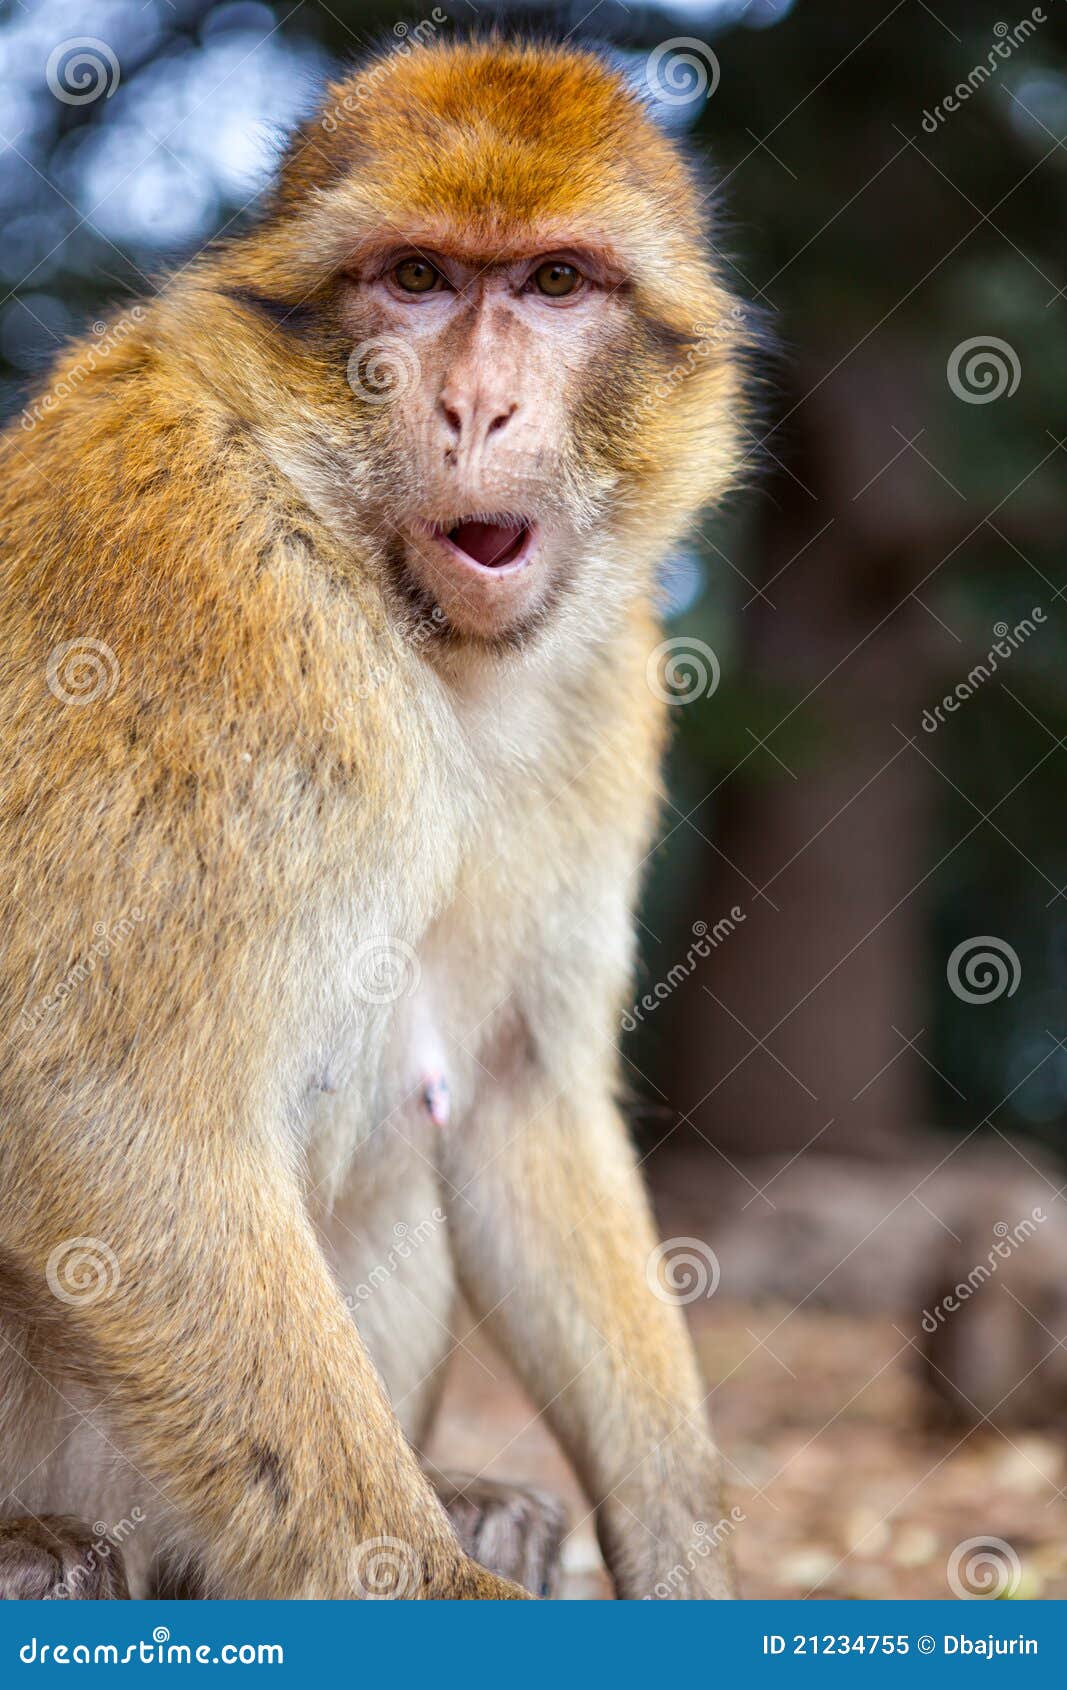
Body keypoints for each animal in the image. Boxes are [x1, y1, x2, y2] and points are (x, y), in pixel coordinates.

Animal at [0, 35, 751, 1599]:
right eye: (413, 278)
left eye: (553, 284)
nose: (473, 410)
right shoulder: (202, 591)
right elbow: (108, 1108)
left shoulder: (604, 671)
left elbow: (519, 1092)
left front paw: (679, 1555)